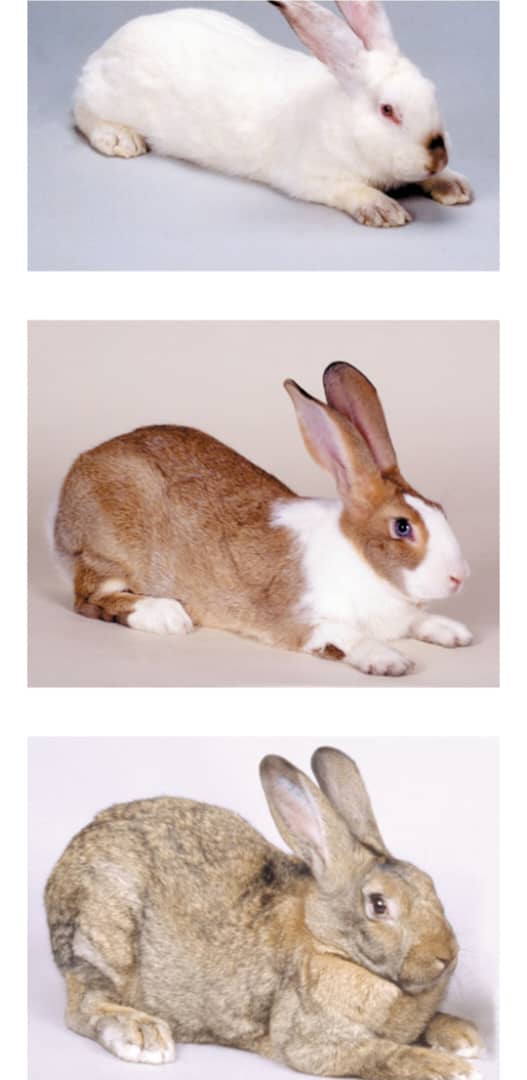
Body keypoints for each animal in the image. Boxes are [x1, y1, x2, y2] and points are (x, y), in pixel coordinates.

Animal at [45, 746, 484, 1077]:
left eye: (430, 884)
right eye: (379, 905)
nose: (447, 955)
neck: (328, 944)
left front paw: (464, 1038)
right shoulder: (312, 1040)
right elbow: (379, 1052)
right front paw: (445, 1068)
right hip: (106, 933)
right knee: (83, 1005)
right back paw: (144, 1035)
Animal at [53, 362, 472, 678]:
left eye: (440, 510)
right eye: (402, 527)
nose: (460, 577)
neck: (364, 563)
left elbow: (418, 622)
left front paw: (454, 632)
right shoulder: (301, 621)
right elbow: (345, 636)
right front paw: (389, 660)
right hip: (112, 548)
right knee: (90, 599)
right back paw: (166, 615)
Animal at [73, 1, 473, 228]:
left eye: (432, 91)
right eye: (388, 110)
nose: (438, 157)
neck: (342, 121)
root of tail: (107, 46)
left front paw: (453, 186)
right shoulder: (314, 177)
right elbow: (350, 189)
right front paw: (384, 211)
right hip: (103, 98)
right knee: (82, 111)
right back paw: (121, 140)